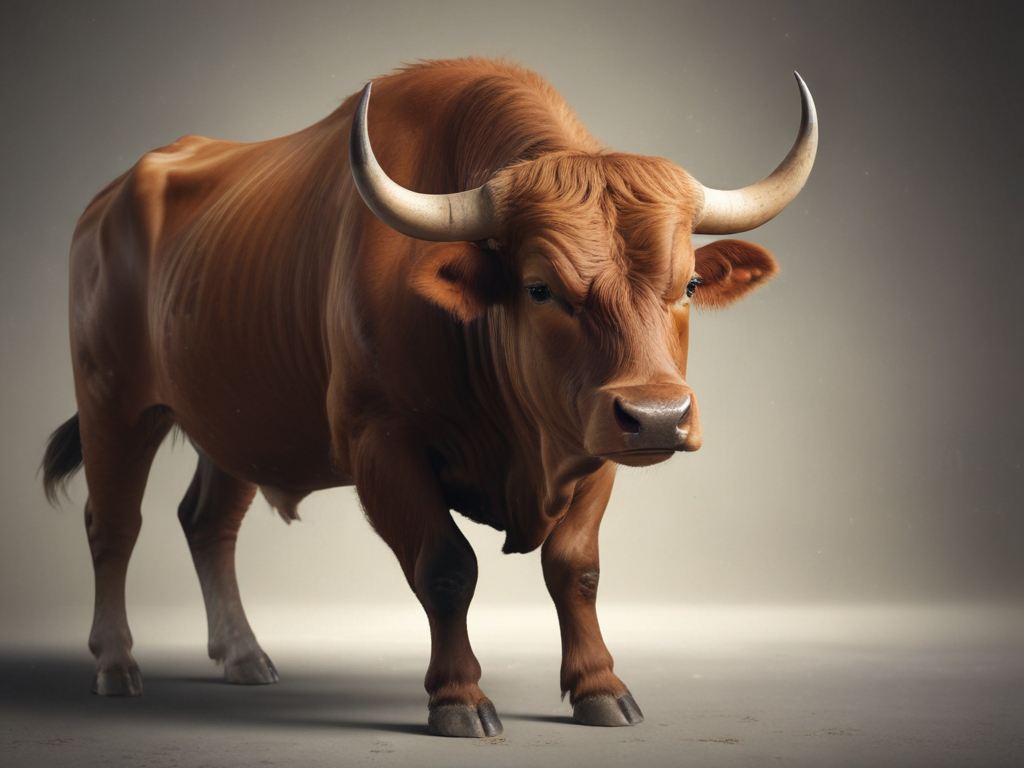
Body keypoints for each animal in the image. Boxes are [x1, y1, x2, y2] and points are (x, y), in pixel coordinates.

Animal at [42, 58, 816, 737]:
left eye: (688, 284)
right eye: (540, 287)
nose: (658, 416)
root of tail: (107, 201)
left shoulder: (591, 443)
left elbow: (575, 568)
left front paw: (600, 688)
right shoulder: (380, 443)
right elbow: (445, 566)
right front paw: (459, 698)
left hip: (234, 421)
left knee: (207, 523)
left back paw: (245, 655)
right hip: (113, 402)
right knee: (113, 523)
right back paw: (116, 663)